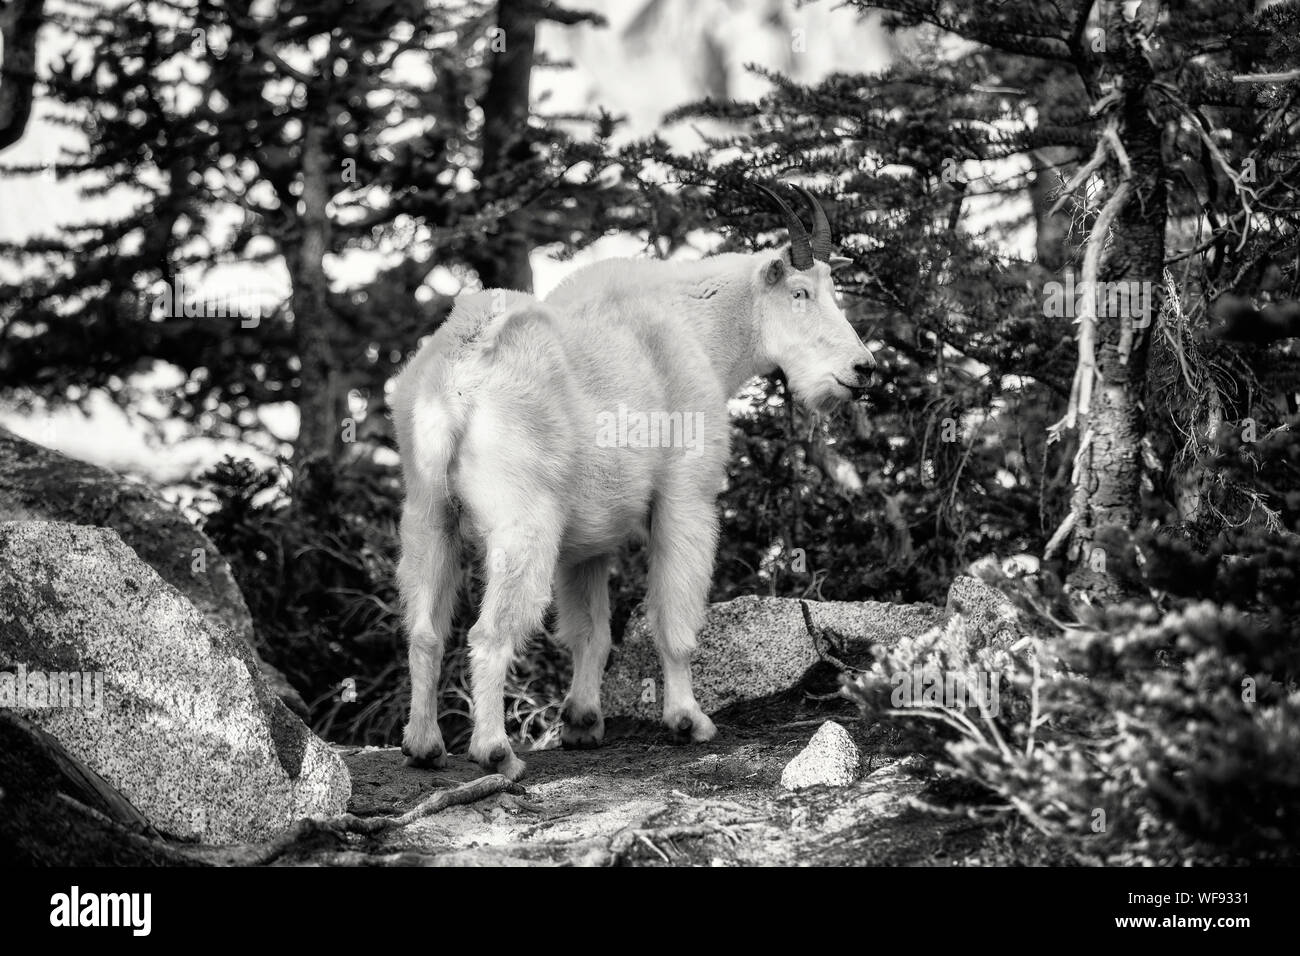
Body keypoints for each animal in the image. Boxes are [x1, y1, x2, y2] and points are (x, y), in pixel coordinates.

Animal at [391, 185, 875, 780]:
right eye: (801, 292)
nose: (863, 368)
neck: (695, 328)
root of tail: (459, 379)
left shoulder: (587, 544)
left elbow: (591, 633)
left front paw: (583, 722)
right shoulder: (685, 497)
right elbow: (674, 620)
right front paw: (689, 721)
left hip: (427, 514)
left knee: (425, 630)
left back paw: (423, 745)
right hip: (523, 525)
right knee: (488, 634)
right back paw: (494, 749)